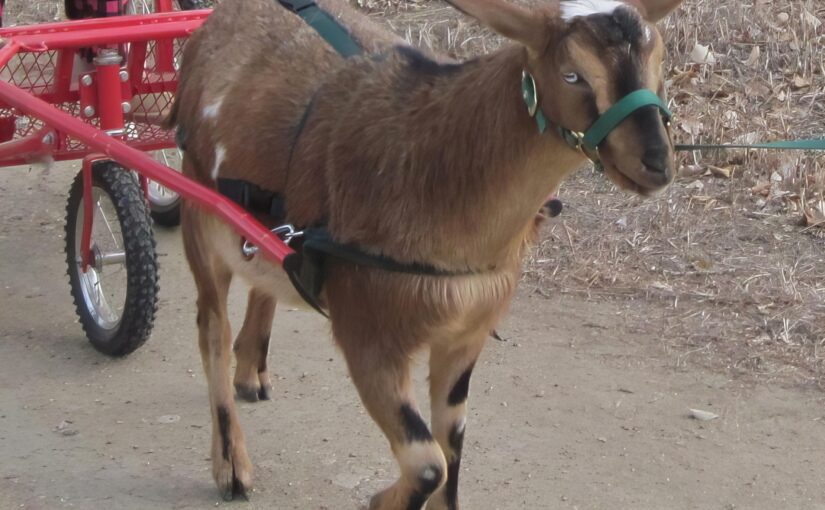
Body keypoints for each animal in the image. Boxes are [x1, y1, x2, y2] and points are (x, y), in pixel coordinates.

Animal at [168, 0, 683, 507]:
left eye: (659, 61)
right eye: (572, 74)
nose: (657, 162)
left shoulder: (467, 333)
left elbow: (451, 450)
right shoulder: (368, 331)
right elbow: (428, 462)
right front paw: (380, 500)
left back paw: (251, 372)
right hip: (198, 209)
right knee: (211, 327)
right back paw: (232, 463)